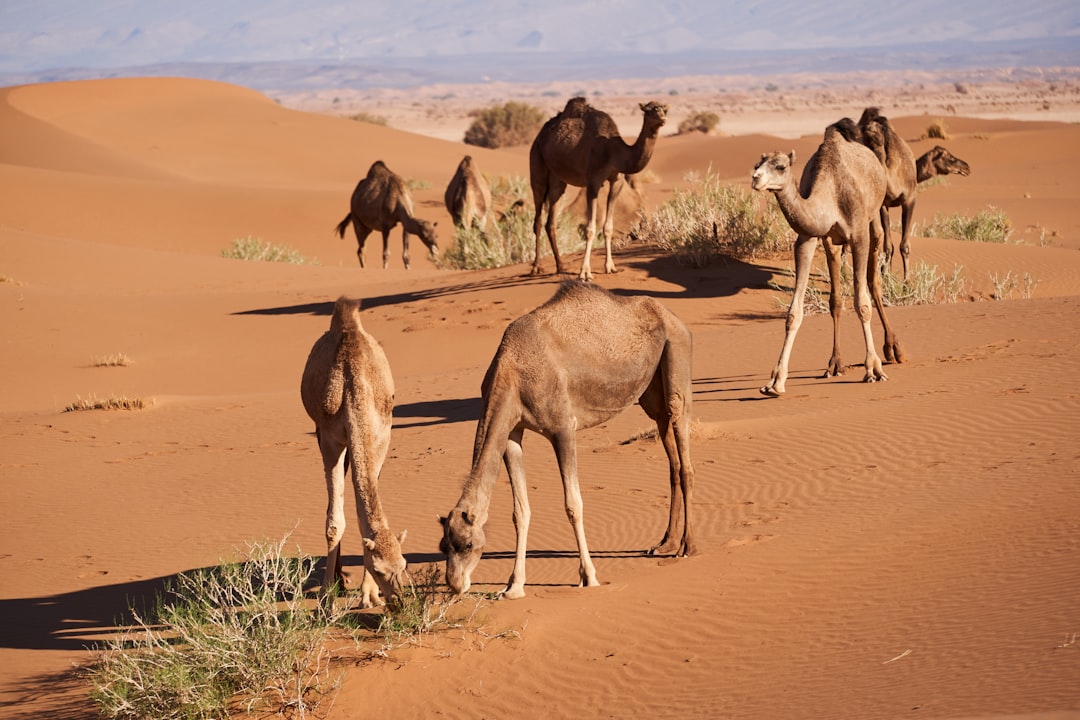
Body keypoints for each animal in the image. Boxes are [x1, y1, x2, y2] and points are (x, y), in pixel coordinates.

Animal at [301, 297, 408, 607]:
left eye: (404, 564)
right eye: (379, 569)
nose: (399, 601)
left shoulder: (380, 434)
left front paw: (369, 595)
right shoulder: (329, 438)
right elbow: (334, 522)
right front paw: (326, 596)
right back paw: (336, 579)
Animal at [439, 281, 696, 599]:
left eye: (468, 545)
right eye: (443, 547)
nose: (454, 584)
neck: (512, 371)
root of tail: (674, 317)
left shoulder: (563, 428)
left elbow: (573, 505)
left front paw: (589, 576)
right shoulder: (512, 432)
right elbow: (520, 511)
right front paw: (514, 586)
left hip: (677, 354)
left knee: (682, 441)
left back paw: (687, 546)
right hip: (652, 393)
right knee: (670, 451)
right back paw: (664, 543)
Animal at [529, 97, 667, 280]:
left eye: (665, 109)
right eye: (649, 110)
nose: (662, 118)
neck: (614, 150)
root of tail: (539, 136)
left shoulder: (616, 180)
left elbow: (608, 227)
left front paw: (610, 267)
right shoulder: (593, 182)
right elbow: (590, 229)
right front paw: (585, 272)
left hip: (557, 179)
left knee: (550, 221)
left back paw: (561, 266)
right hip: (537, 164)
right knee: (537, 219)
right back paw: (536, 268)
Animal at [752, 123, 895, 397]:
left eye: (781, 166)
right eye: (757, 163)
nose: (755, 178)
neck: (831, 194)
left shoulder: (858, 233)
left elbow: (862, 304)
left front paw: (873, 369)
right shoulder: (807, 238)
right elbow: (794, 313)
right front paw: (775, 381)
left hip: (874, 217)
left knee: (874, 279)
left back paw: (893, 351)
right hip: (832, 243)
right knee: (836, 297)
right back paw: (835, 364)